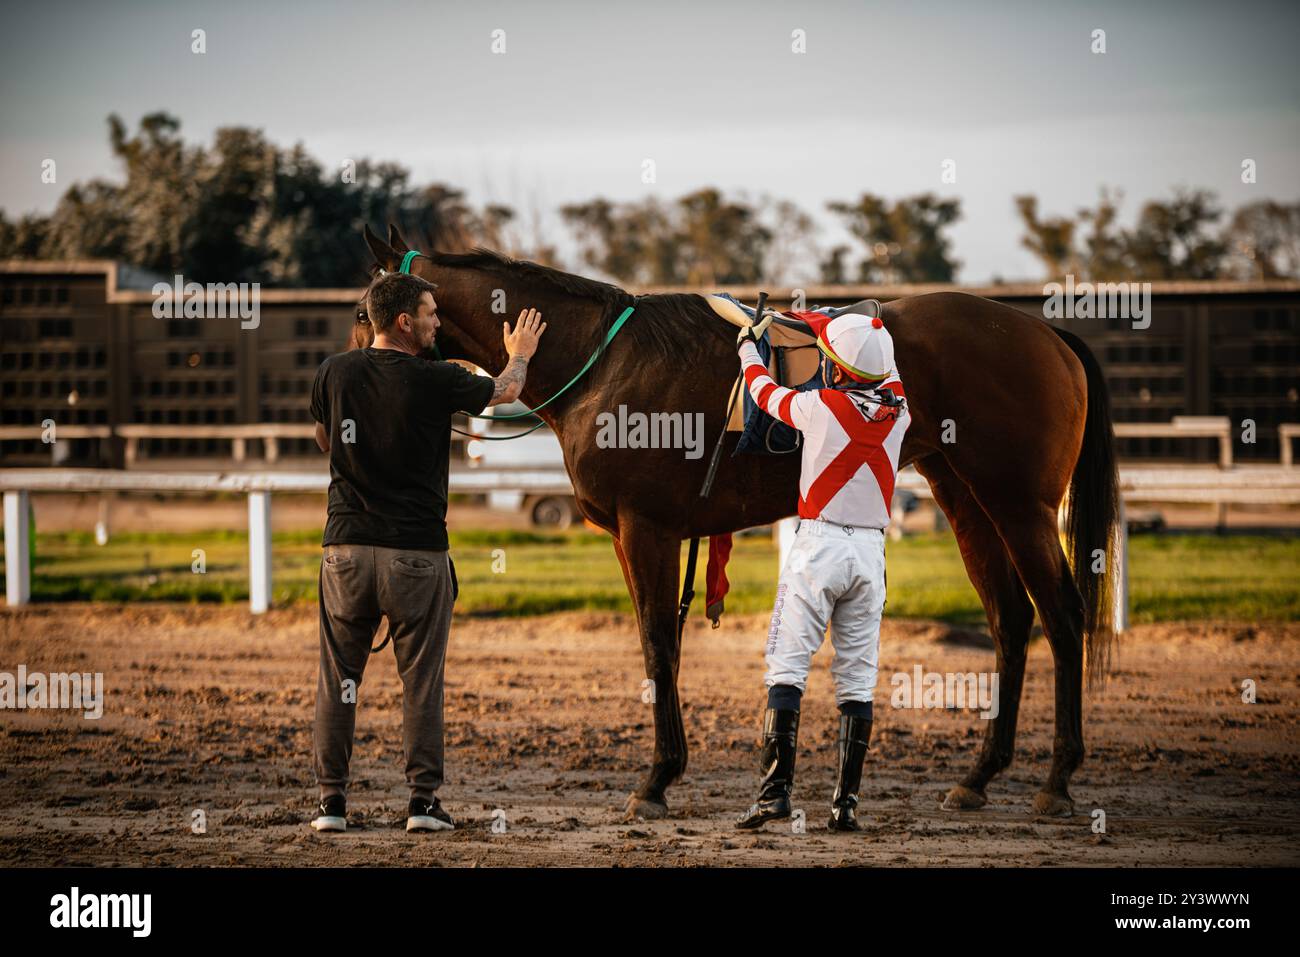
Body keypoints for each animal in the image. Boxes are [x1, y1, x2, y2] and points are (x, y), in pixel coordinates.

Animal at [357, 224, 1120, 821]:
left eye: (365, 309)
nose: (359, 373)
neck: (602, 364)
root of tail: (1044, 330)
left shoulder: (648, 529)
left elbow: (659, 644)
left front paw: (657, 778)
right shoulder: (634, 536)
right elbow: (658, 641)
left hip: (1019, 504)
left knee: (1061, 616)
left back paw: (1057, 780)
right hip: (965, 499)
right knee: (1010, 620)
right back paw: (979, 776)